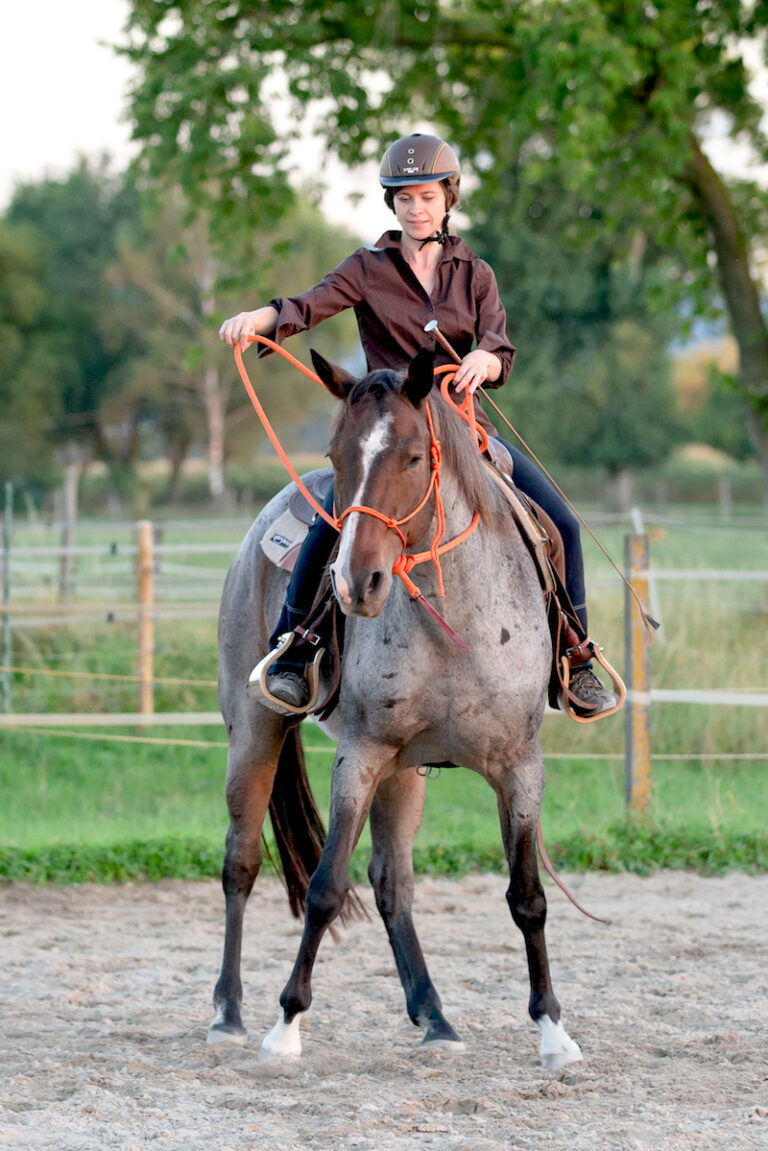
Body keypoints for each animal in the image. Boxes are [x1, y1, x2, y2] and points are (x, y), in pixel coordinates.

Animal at [208, 347, 582, 1071]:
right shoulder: (360, 756)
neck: (456, 620)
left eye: (412, 456)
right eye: (338, 451)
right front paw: (286, 1023)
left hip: (406, 772)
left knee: (392, 882)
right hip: (255, 732)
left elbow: (528, 896)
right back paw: (228, 1011)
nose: (356, 582)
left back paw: (434, 1014)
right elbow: (326, 886)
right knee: (240, 863)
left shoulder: (521, 766)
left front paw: (553, 1028)